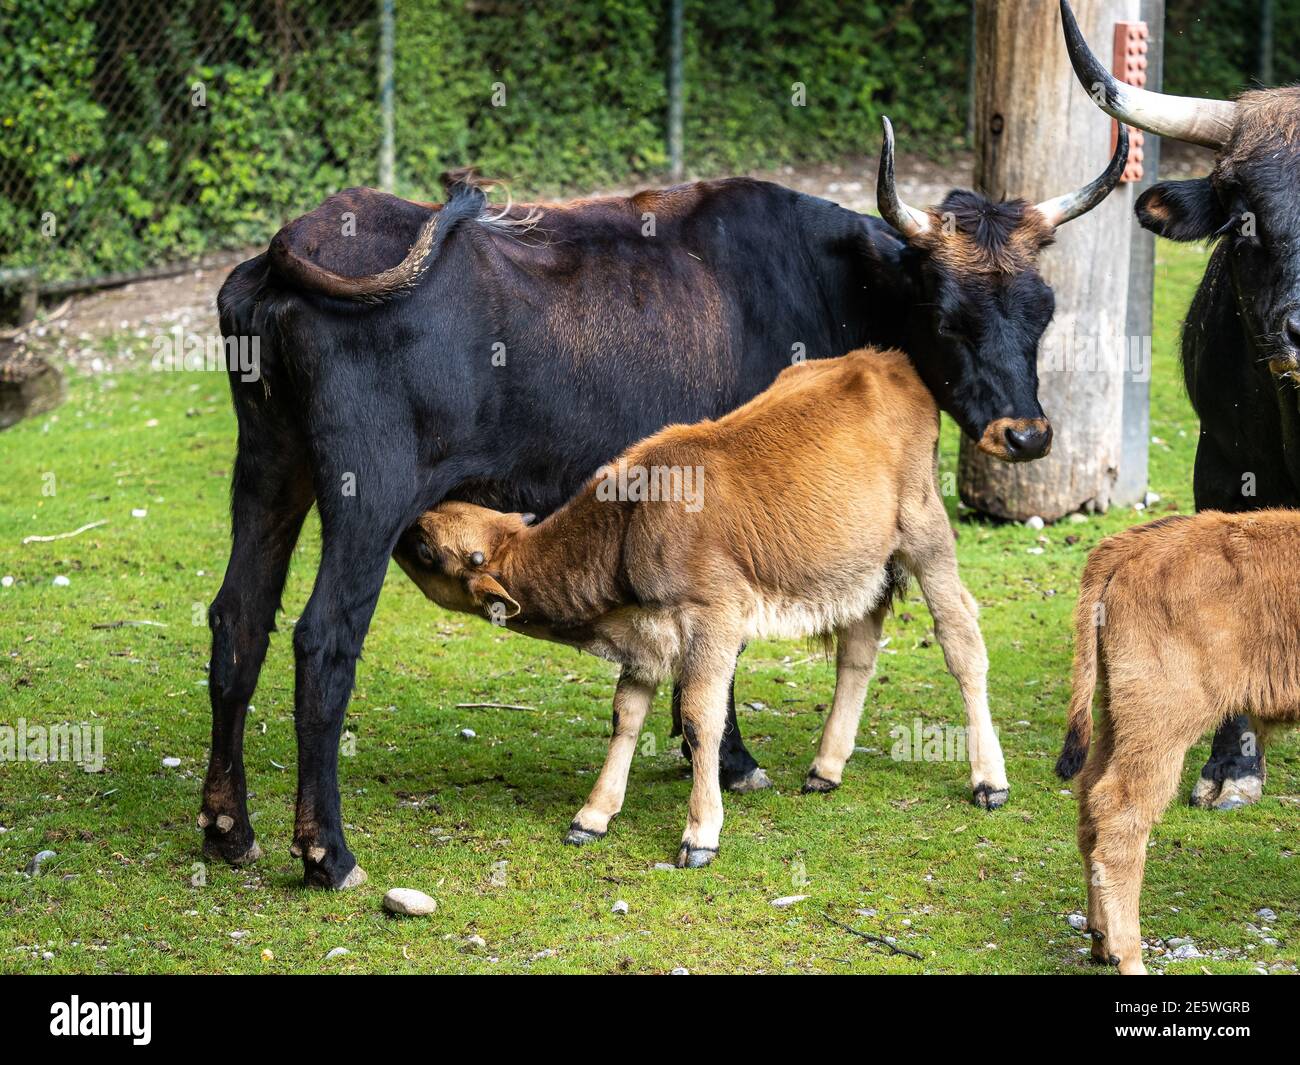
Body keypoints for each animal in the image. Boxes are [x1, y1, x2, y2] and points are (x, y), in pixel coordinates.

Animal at [406, 347, 1002, 867]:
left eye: (427, 548)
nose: (406, 523)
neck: (631, 521)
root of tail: (884, 358)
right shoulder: (646, 635)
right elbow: (626, 715)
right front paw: (593, 815)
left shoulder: (713, 619)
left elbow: (700, 720)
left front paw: (700, 832)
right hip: (858, 570)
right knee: (857, 650)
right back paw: (826, 768)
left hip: (927, 537)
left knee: (962, 643)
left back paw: (988, 780)